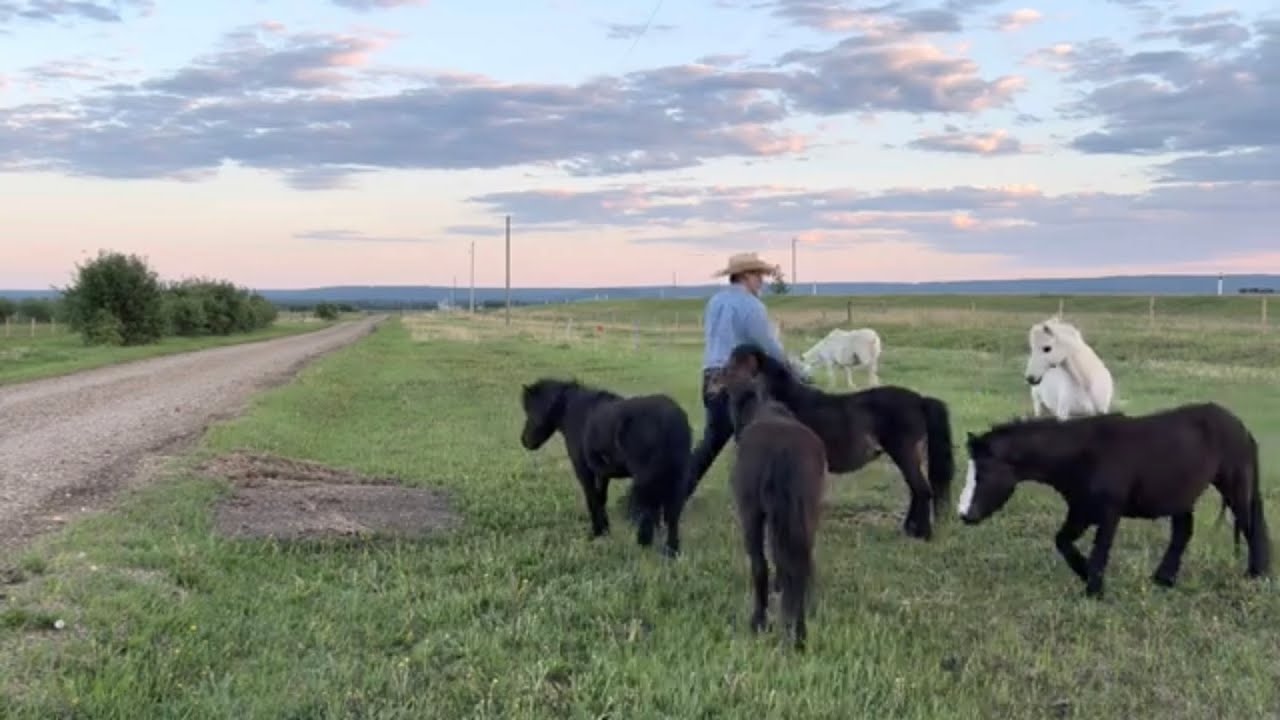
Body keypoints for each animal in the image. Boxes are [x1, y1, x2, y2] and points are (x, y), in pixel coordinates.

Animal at [518, 377, 692, 557]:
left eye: (531, 410)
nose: (524, 441)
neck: (576, 411)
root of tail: (673, 420)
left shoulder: (583, 470)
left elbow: (592, 498)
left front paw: (597, 532)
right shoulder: (602, 473)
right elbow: (601, 498)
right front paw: (605, 529)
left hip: (646, 479)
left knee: (651, 511)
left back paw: (644, 544)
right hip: (677, 478)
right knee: (672, 514)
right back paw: (670, 551)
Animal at [719, 342, 954, 541]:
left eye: (735, 361)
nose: (715, 377)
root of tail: (920, 401)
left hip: (904, 452)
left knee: (922, 490)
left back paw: (922, 534)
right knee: (916, 490)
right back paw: (910, 529)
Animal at [724, 373, 827, 650]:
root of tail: (782, 450)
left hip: (751, 514)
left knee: (760, 565)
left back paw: (759, 621)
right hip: (805, 516)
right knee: (799, 567)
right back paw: (798, 635)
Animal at [958, 403, 1272, 598]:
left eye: (983, 472)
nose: (964, 515)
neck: (1082, 454)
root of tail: (1240, 425)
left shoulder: (1109, 512)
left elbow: (1101, 550)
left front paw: (1094, 590)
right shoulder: (1080, 510)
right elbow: (1063, 542)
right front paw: (1086, 576)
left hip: (1235, 487)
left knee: (1251, 526)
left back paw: (1257, 575)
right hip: (1182, 498)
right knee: (1183, 533)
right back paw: (1163, 579)